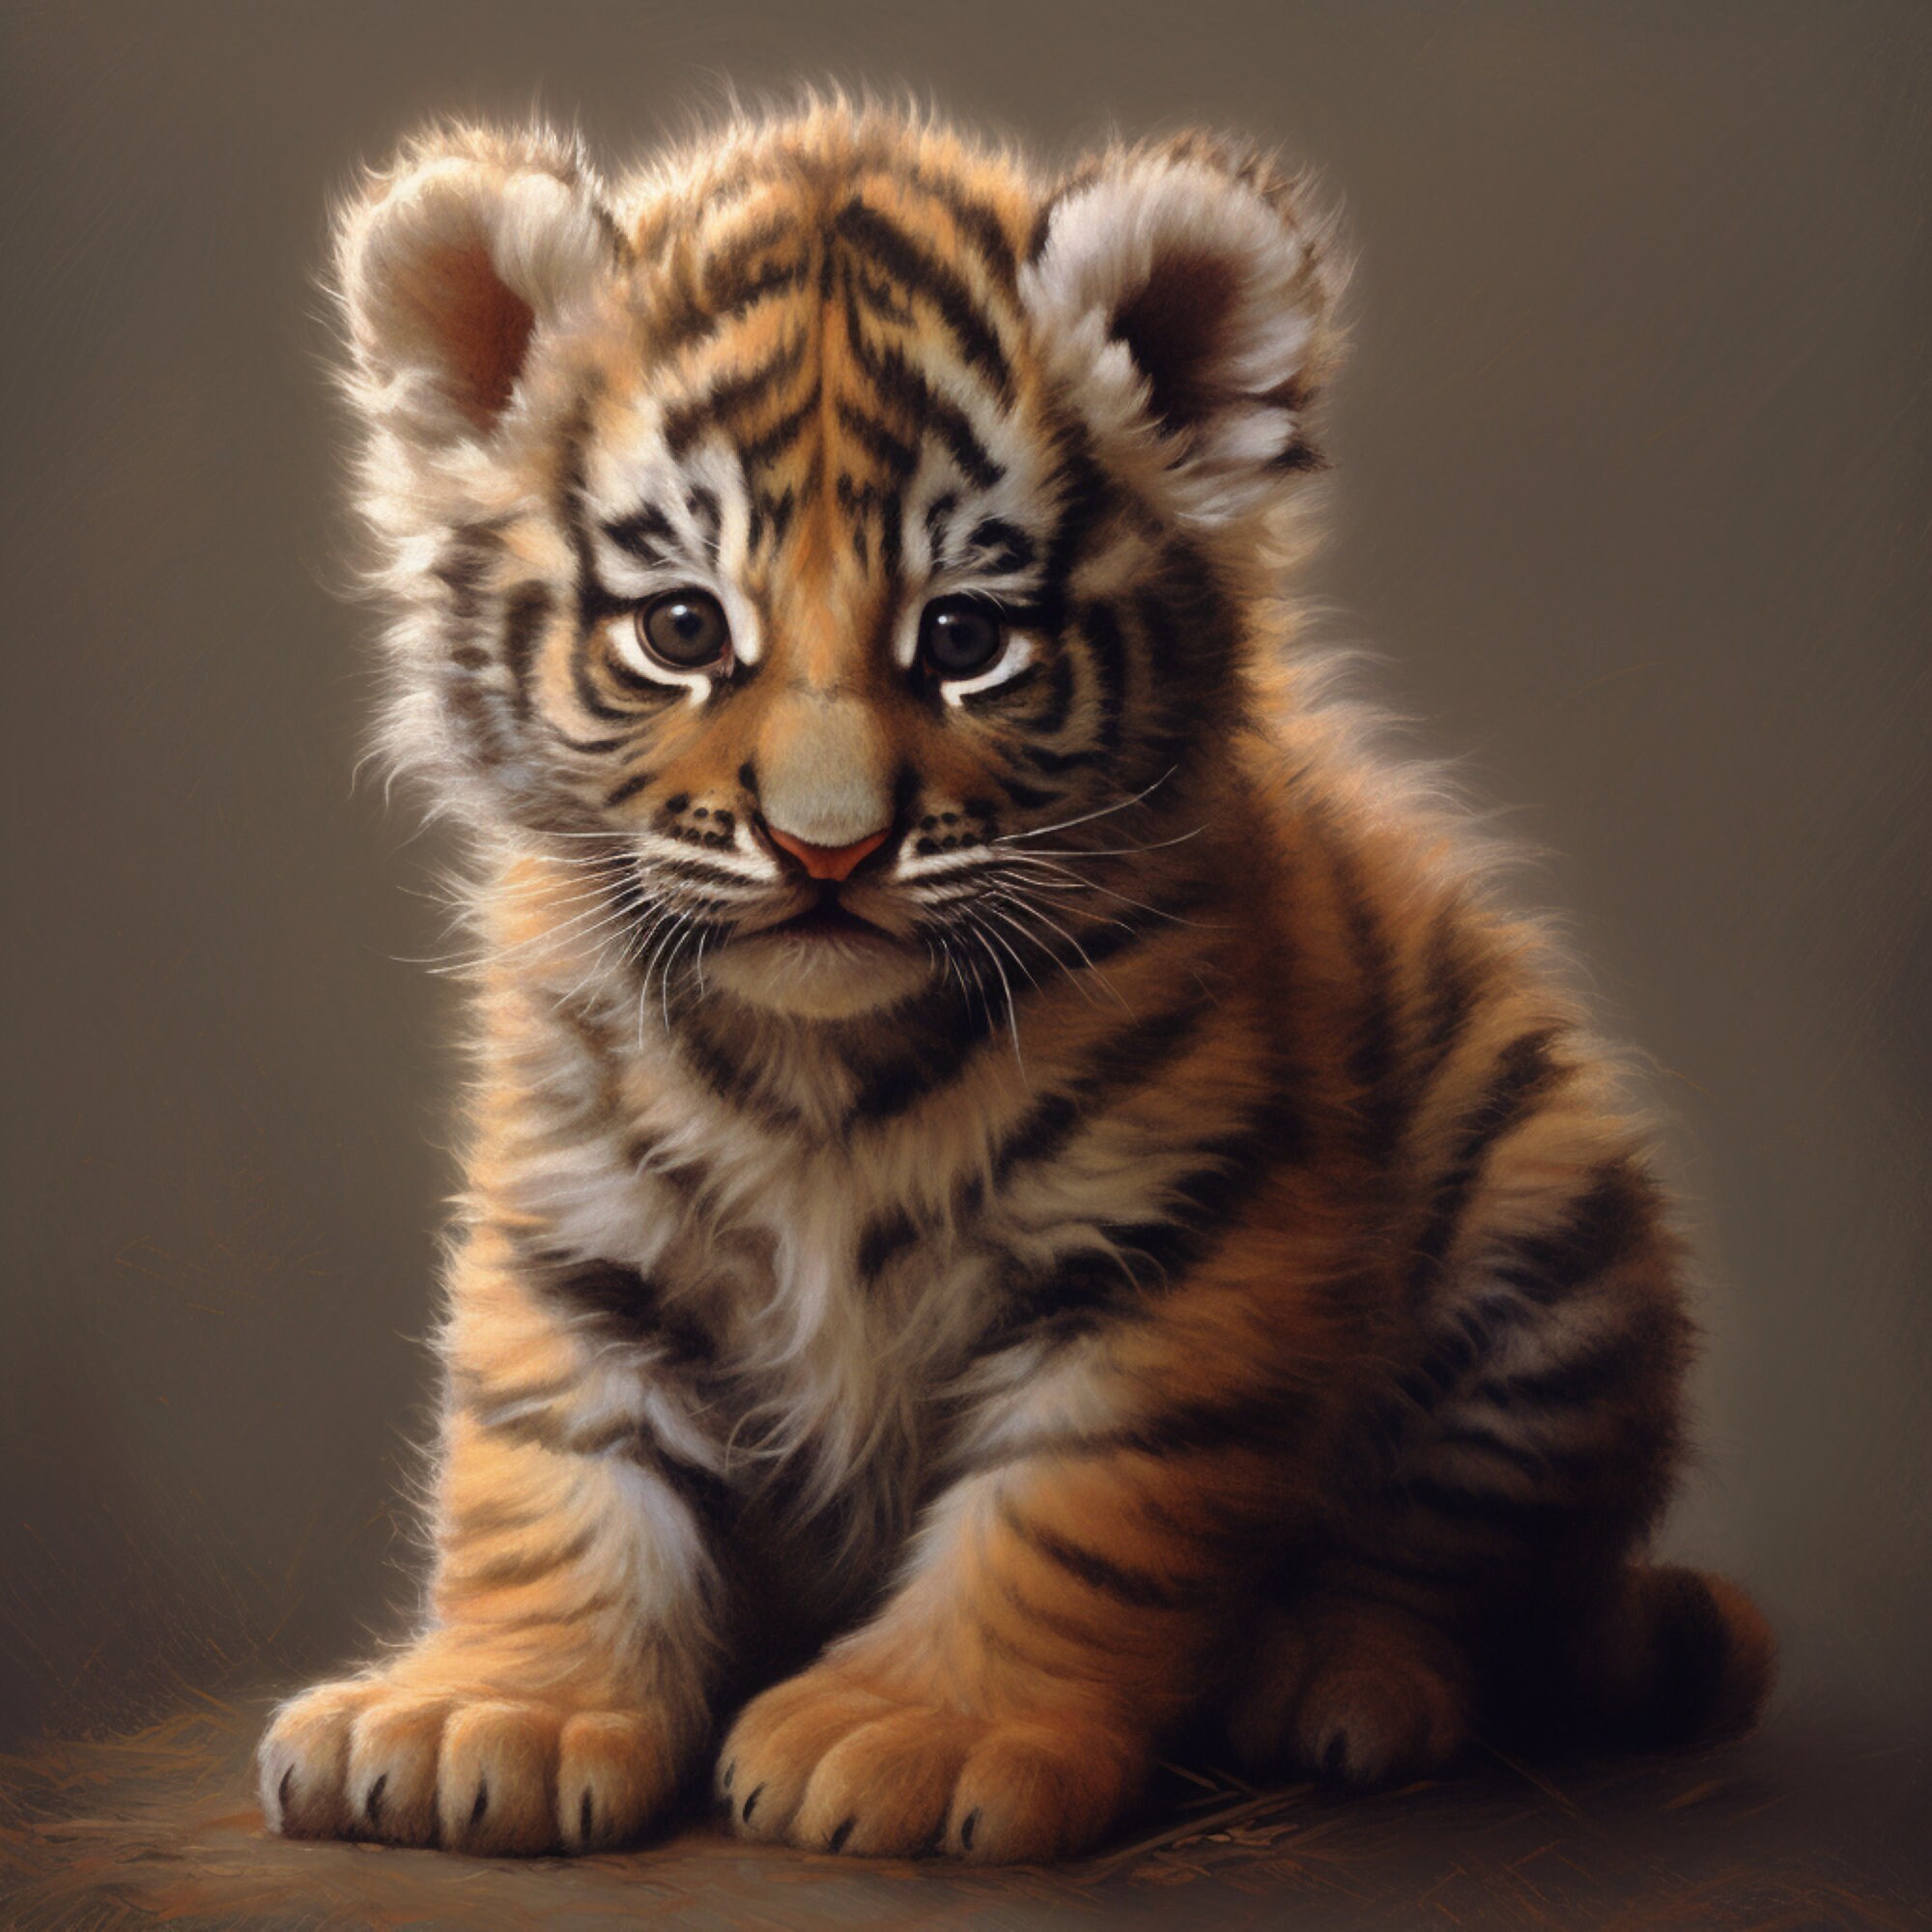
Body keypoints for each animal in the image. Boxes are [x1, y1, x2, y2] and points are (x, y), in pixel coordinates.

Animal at [256, 96, 1774, 1864]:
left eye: (966, 637)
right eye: (686, 630)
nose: (827, 850)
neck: (819, 1066)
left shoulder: (1170, 1240)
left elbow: (1072, 1501)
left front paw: (920, 1731)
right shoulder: (580, 1224)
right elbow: (549, 1464)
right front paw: (491, 1710)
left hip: (1541, 1237)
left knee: (1457, 1560)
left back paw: (1329, 1675)